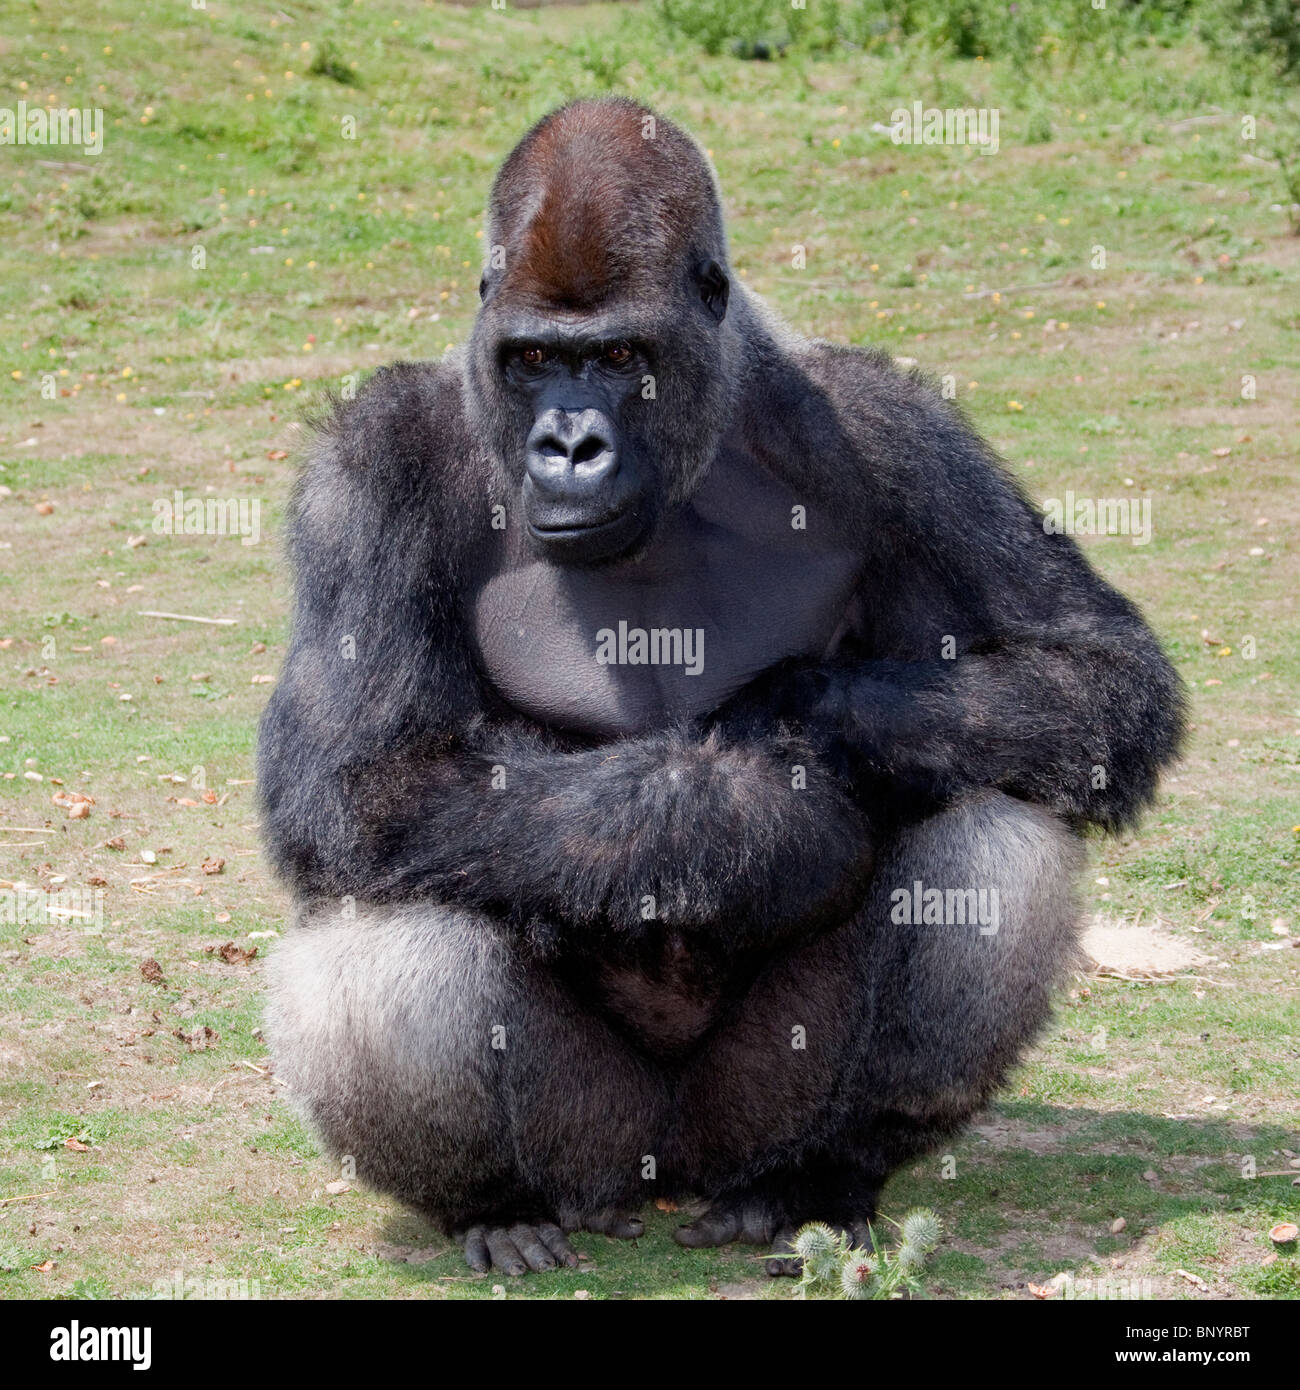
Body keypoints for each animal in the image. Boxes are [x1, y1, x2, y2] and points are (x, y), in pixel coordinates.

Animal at [259, 97, 1184, 1277]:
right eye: (531, 361)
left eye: (618, 356)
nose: (568, 445)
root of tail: (667, 1174)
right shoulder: (368, 470)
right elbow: (355, 778)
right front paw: (752, 808)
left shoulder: (899, 432)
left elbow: (1098, 675)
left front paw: (792, 723)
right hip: (594, 1141)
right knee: (386, 899)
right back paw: (492, 1204)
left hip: (749, 1116)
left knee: (996, 827)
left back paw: (819, 1178)